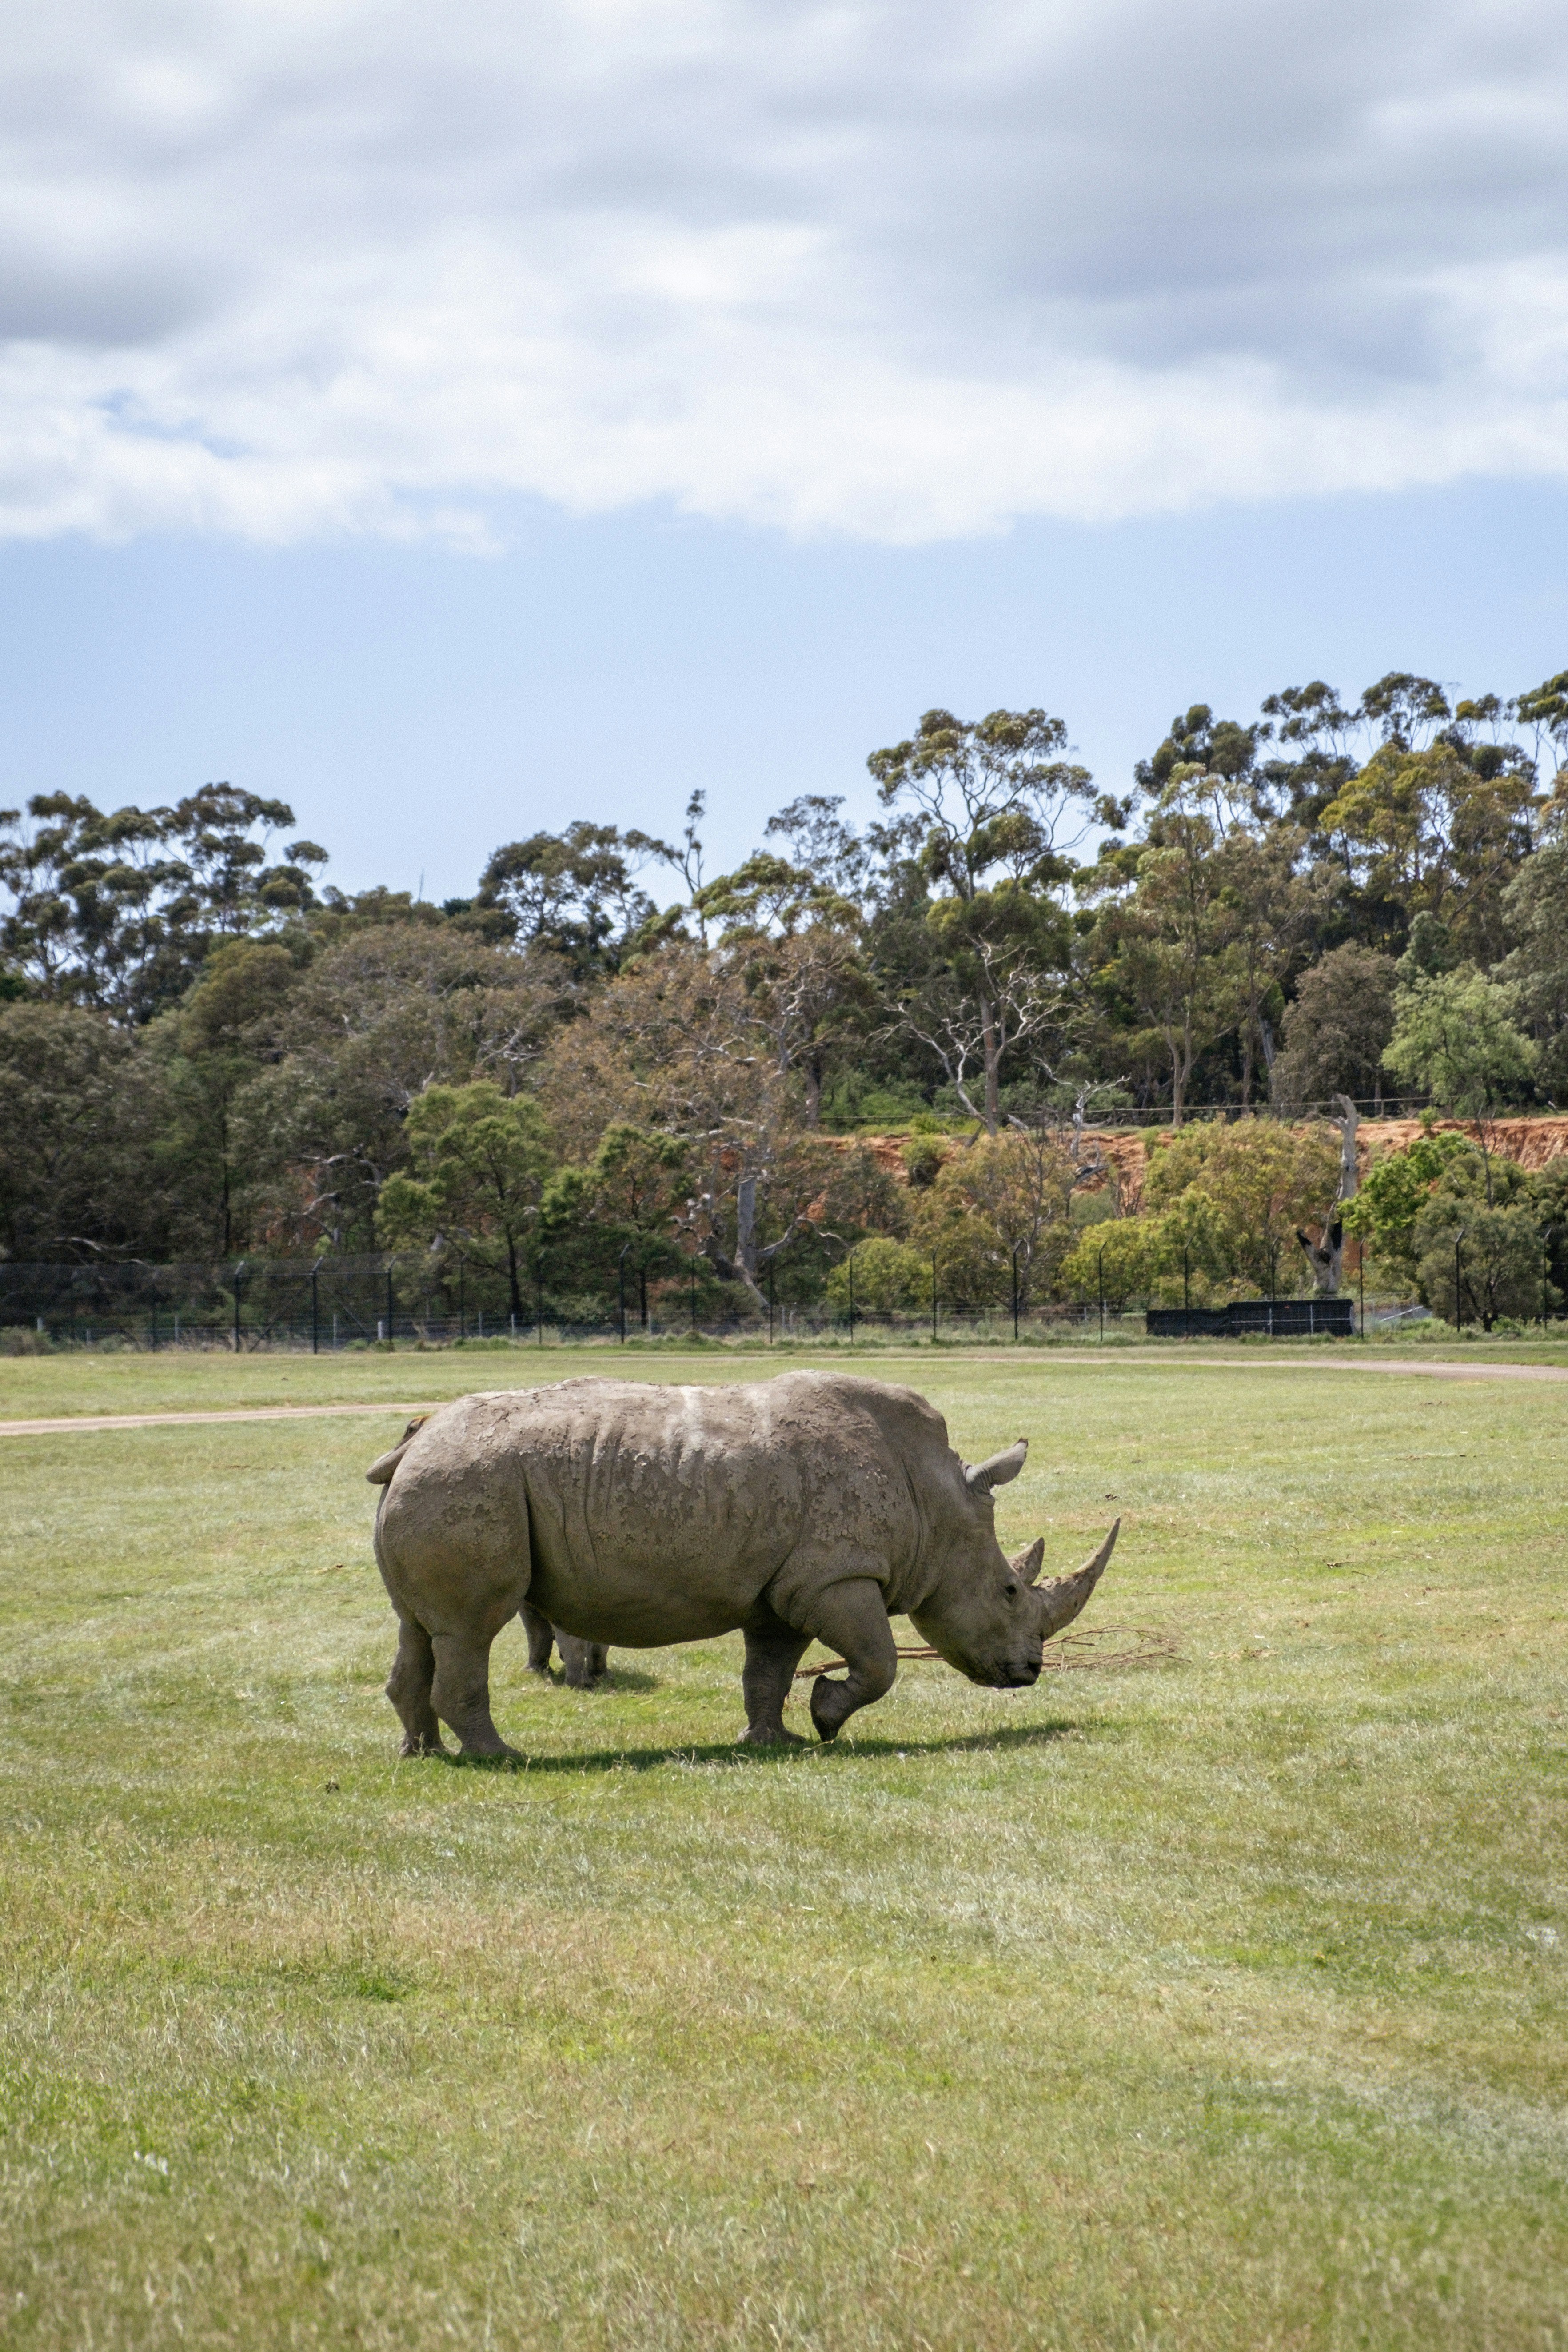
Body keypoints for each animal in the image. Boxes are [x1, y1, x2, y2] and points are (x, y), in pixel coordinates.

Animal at [366, 1371, 1117, 1760]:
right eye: (1010, 1589)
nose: (1029, 1672)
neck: (936, 1501)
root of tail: (414, 1443)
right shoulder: (837, 1575)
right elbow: (879, 1663)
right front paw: (827, 1719)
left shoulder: (786, 1588)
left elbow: (768, 1669)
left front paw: (771, 1739)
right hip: (470, 1480)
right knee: (470, 1628)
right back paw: (501, 1758)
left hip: (441, 1482)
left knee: (420, 1629)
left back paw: (421, 1753)